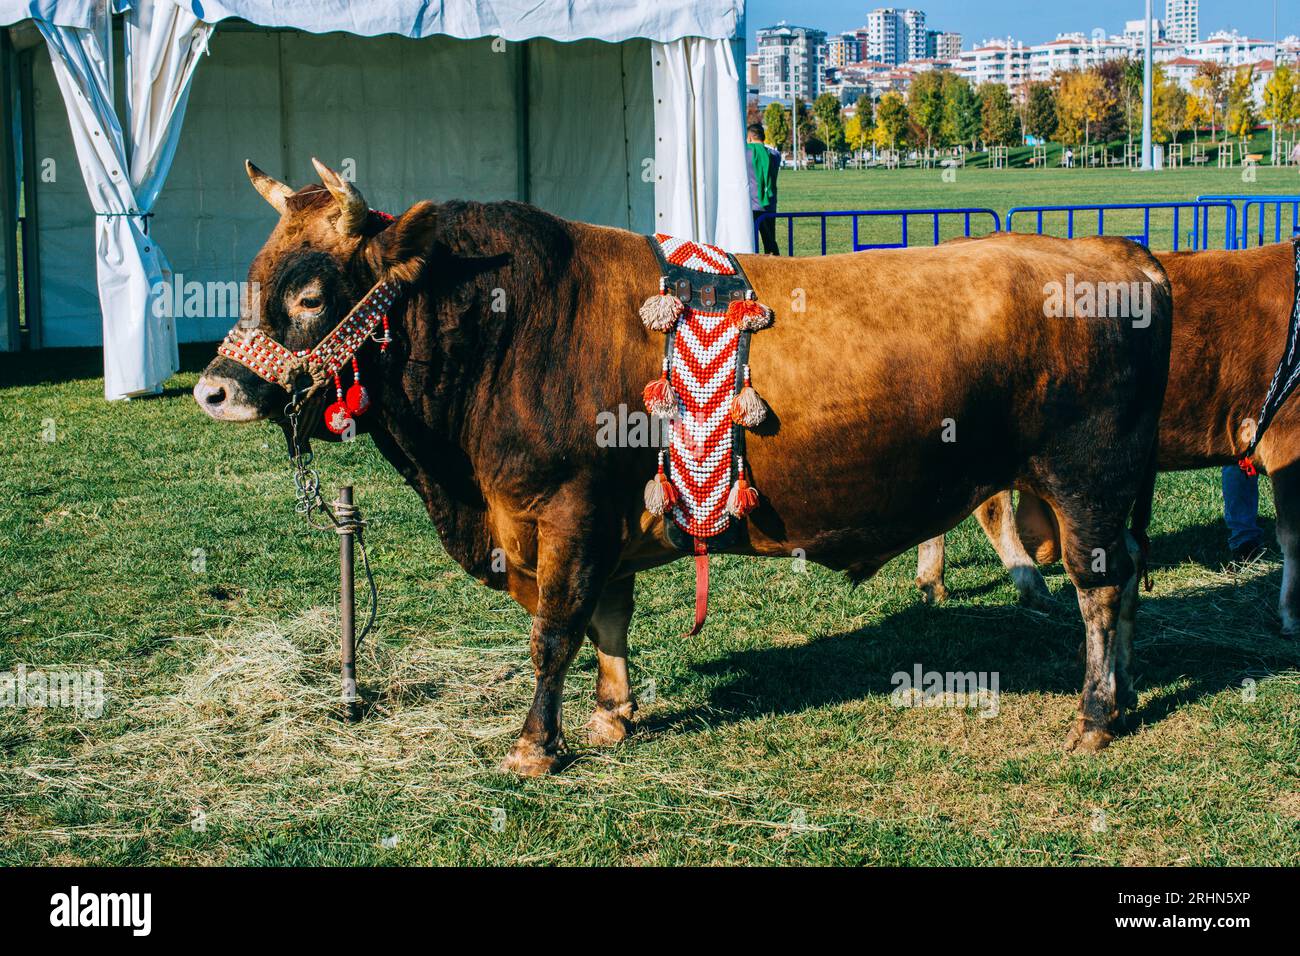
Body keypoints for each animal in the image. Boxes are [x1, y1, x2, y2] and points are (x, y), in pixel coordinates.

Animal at [194, 161, 1172, 774]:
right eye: (253, 277)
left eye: (309, 295)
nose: (214, 389)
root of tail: (1112, 251)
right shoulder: (601, 521)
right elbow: (608, 621)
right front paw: (611, 715)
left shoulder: (568, 510)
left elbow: (554, 630)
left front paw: (534, 745)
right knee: (1124, 577)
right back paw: (1123, 697)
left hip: (1083, 478)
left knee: (1099, 588)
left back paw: (1093, 716)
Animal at [916, 241, 1300, 634]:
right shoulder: (1288, 438)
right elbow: (1293, 535)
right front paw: (1290, 615)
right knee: (994, 512)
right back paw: (1032, 588)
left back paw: (933, 581)